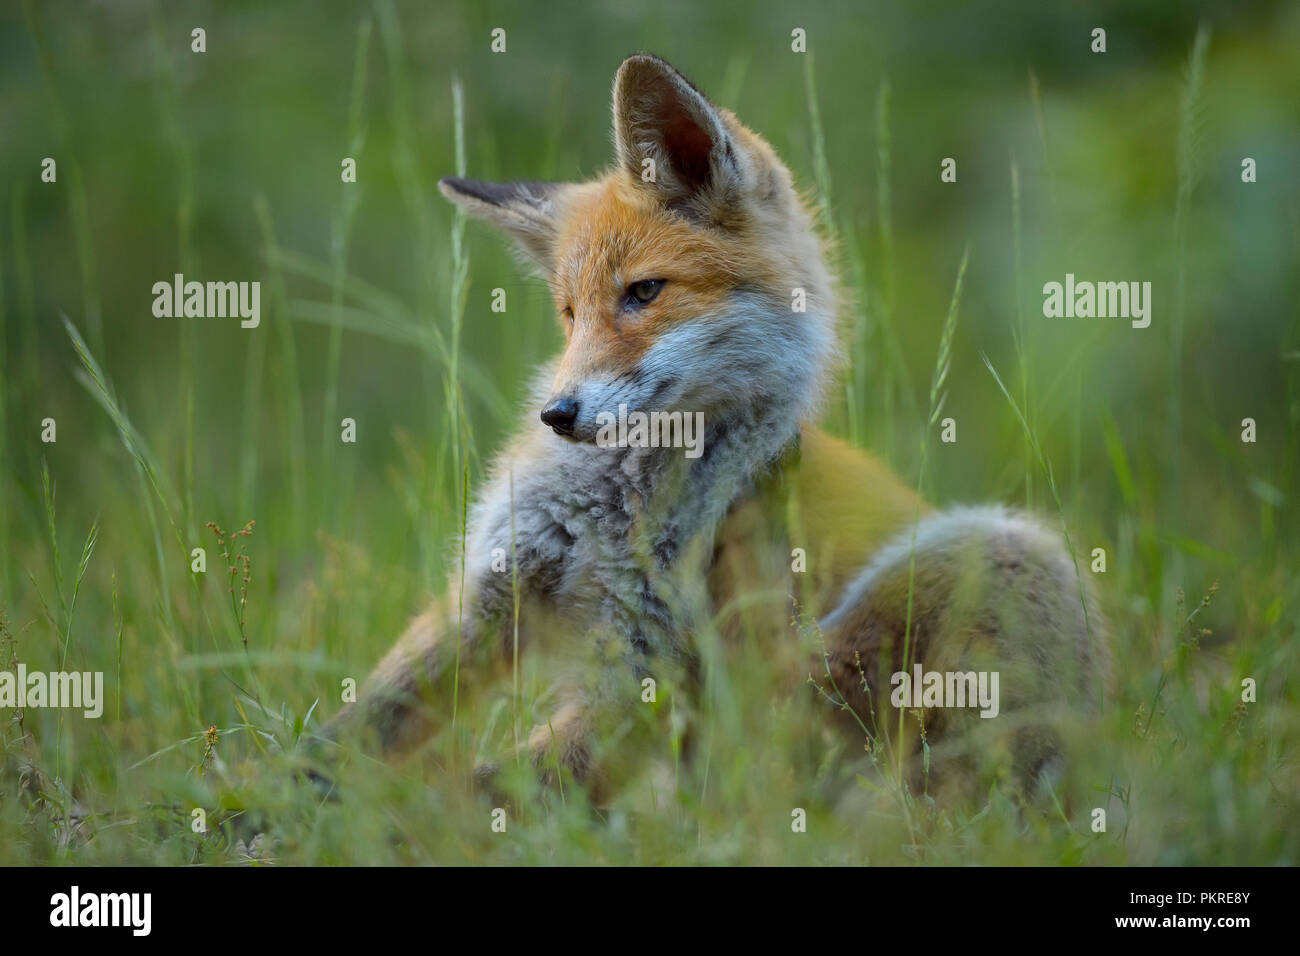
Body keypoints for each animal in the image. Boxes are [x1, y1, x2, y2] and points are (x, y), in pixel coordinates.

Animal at [320, 53, 1108, 807]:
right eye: (569, 313)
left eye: (644, 292)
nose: (557, 414)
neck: (605, 515)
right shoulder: (489, 590)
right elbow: (357, 722)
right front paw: (299, 789)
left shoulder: (646, 671)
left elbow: (480, 788)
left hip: (974, 556)